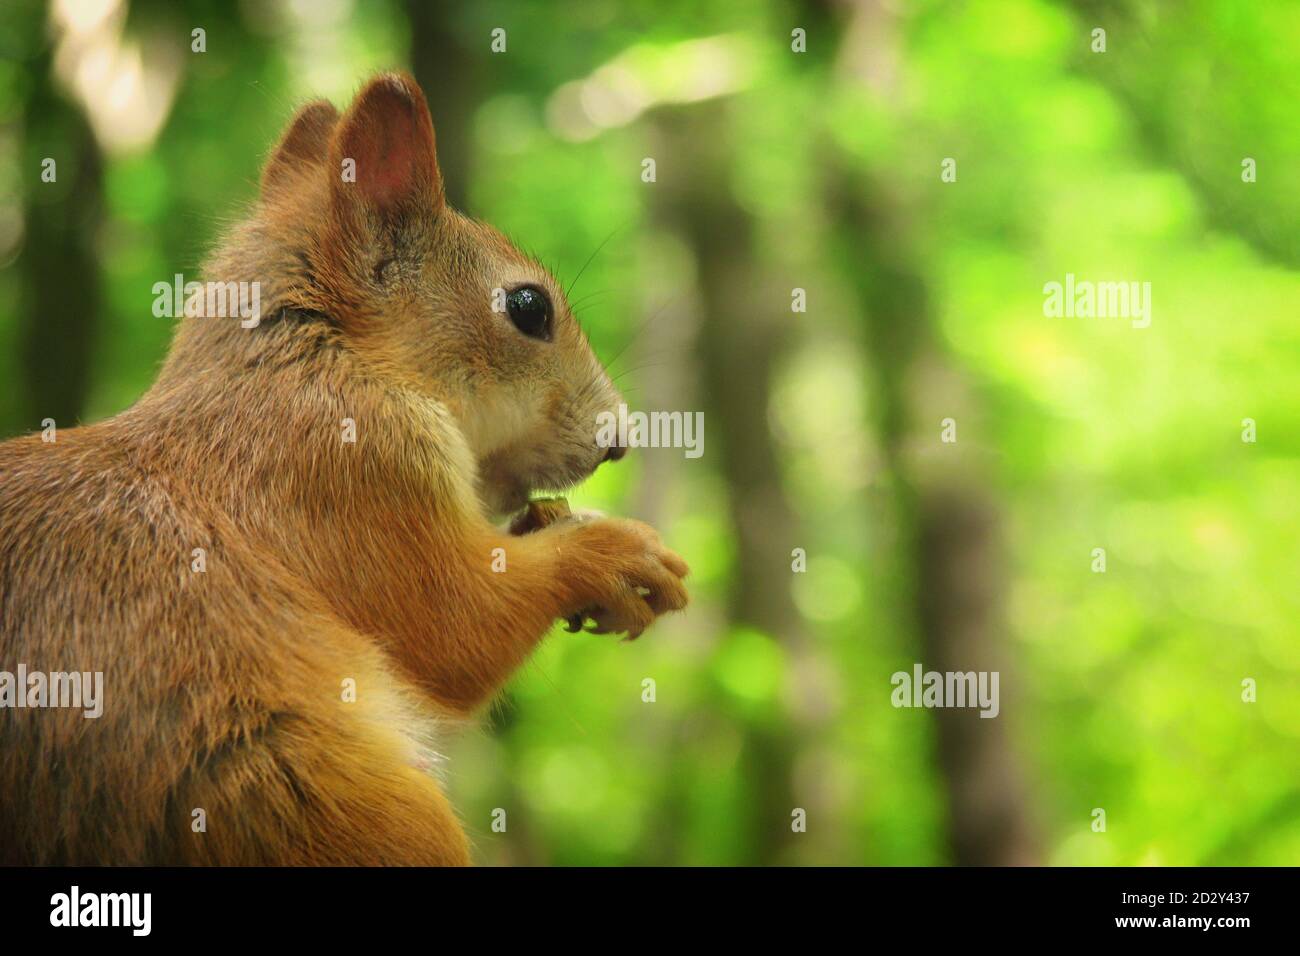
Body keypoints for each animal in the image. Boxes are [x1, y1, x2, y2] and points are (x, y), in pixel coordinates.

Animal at [0, 73, 689, 865]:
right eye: (528, 307)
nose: (619, 439)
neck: (317, 359)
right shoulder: (356, 465)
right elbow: (457, 627)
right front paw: (614, 553)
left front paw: (551, 523)